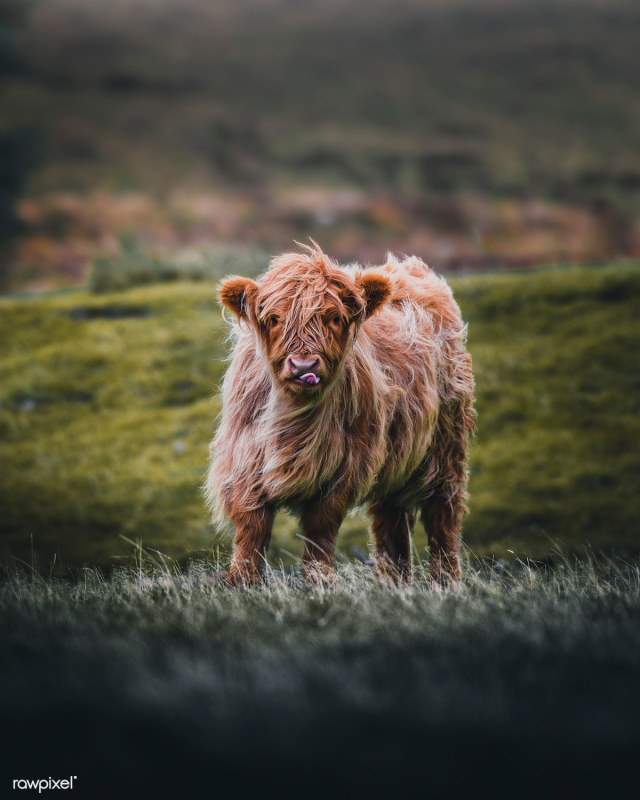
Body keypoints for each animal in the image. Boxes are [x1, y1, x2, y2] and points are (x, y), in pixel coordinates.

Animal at [205, 244, 475, 587]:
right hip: (395, 455)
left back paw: (445, 581)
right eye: (274, 318)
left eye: (333, 317)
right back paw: (393, 583)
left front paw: (319, 581)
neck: (295, 420)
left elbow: (320, 528)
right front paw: (242, 581)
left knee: (442, 511)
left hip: (446, 444)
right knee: (391, 519)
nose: (303, 366)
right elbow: (252, 528)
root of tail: (410, 268)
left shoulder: (343, 467)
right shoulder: (245, 461)